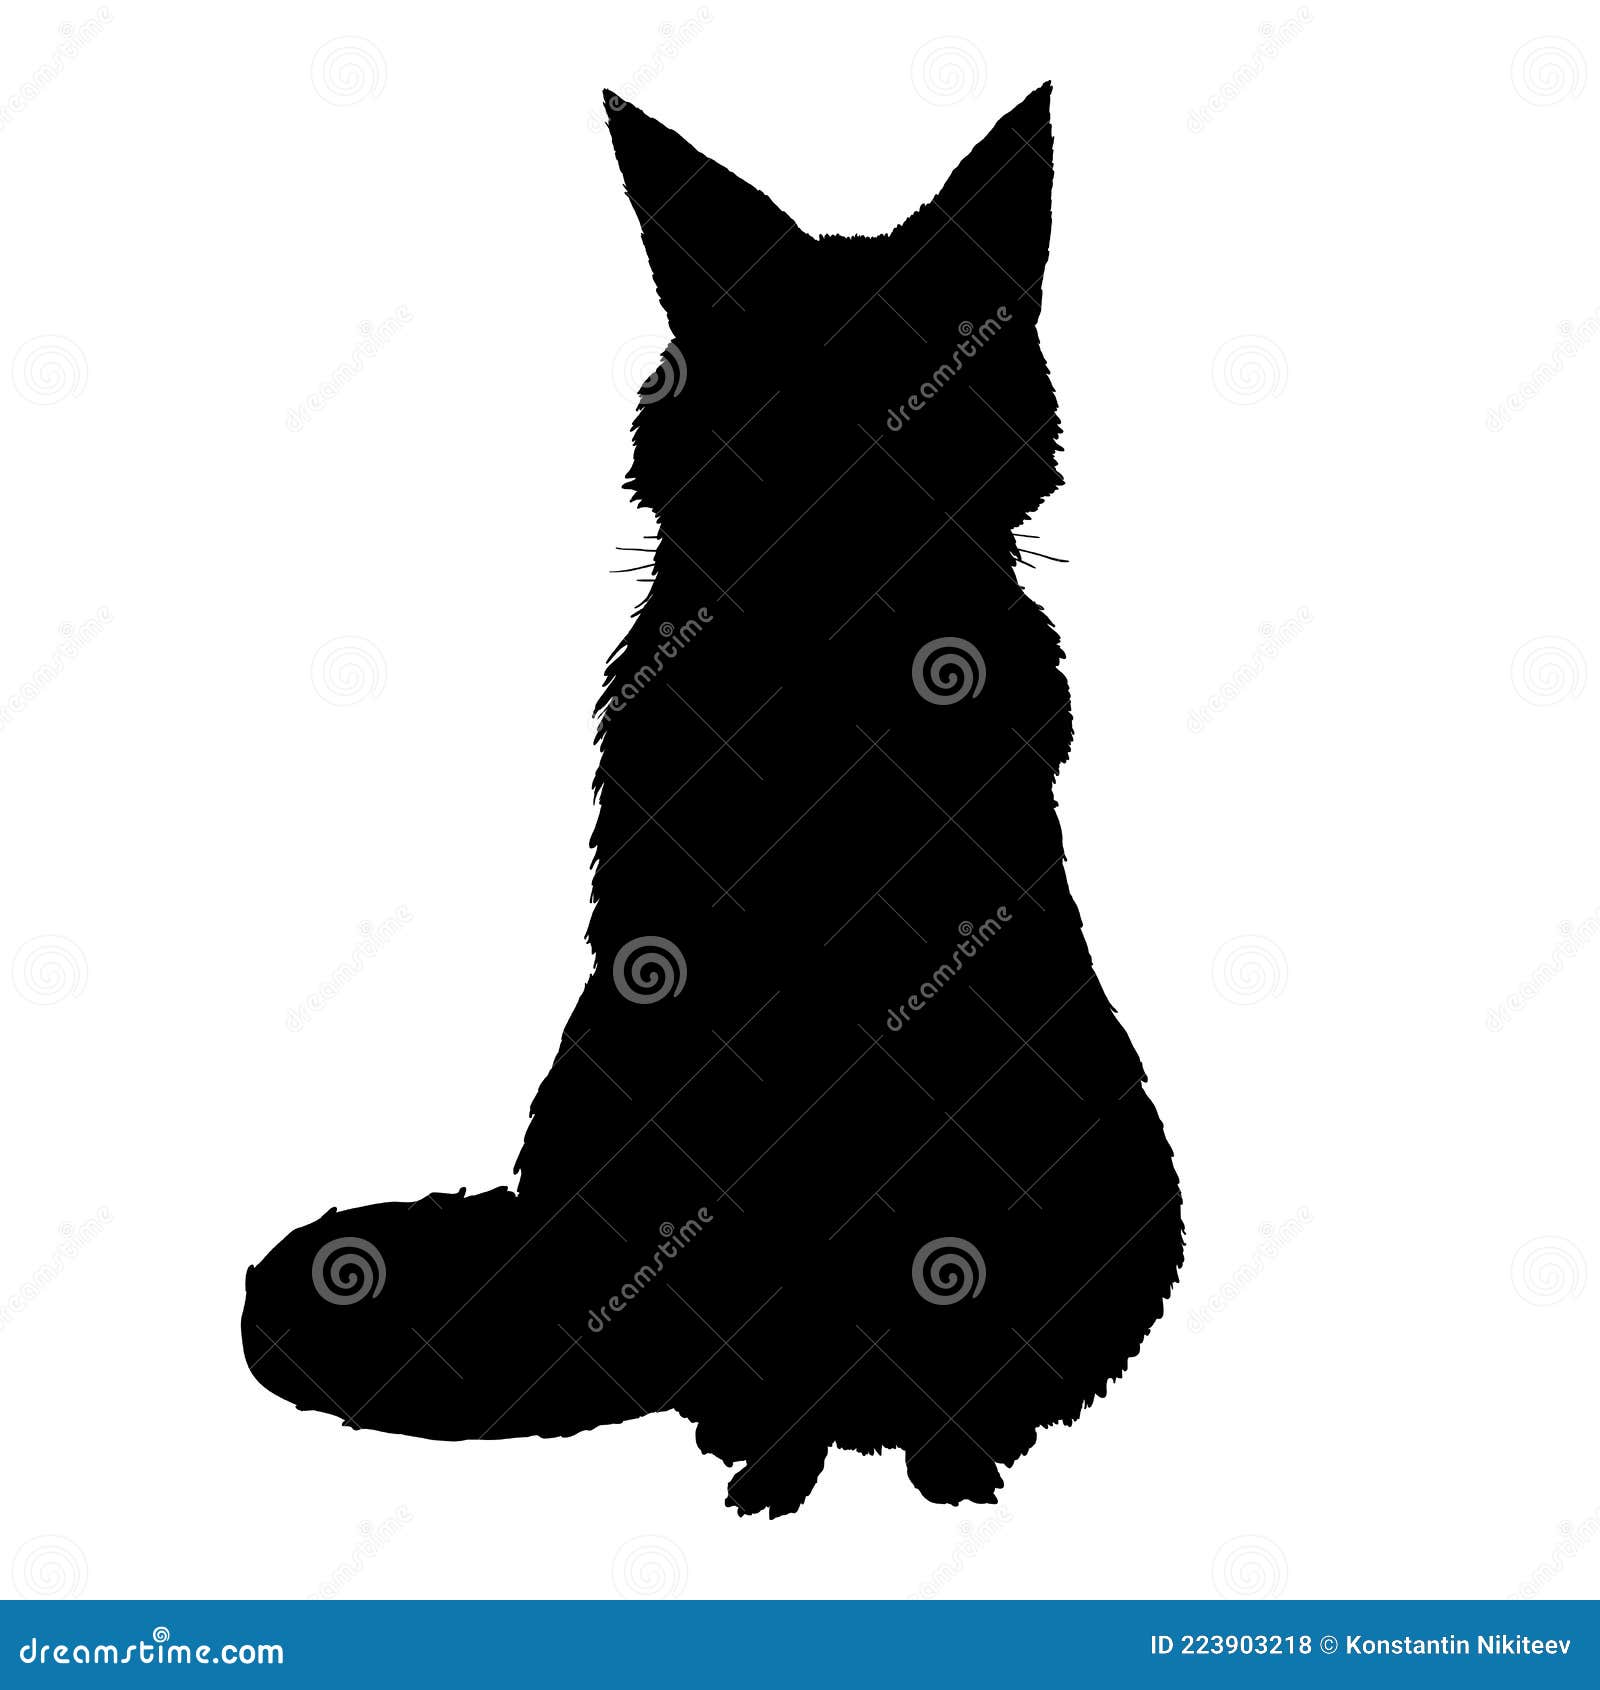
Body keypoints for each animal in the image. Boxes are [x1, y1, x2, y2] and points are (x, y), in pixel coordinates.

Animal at [243, 81, 1183, 1518]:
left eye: (924, 385)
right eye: (774, 397)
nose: (848, 467)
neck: (833, 679)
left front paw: (944, 1453)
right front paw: (780, 1454)